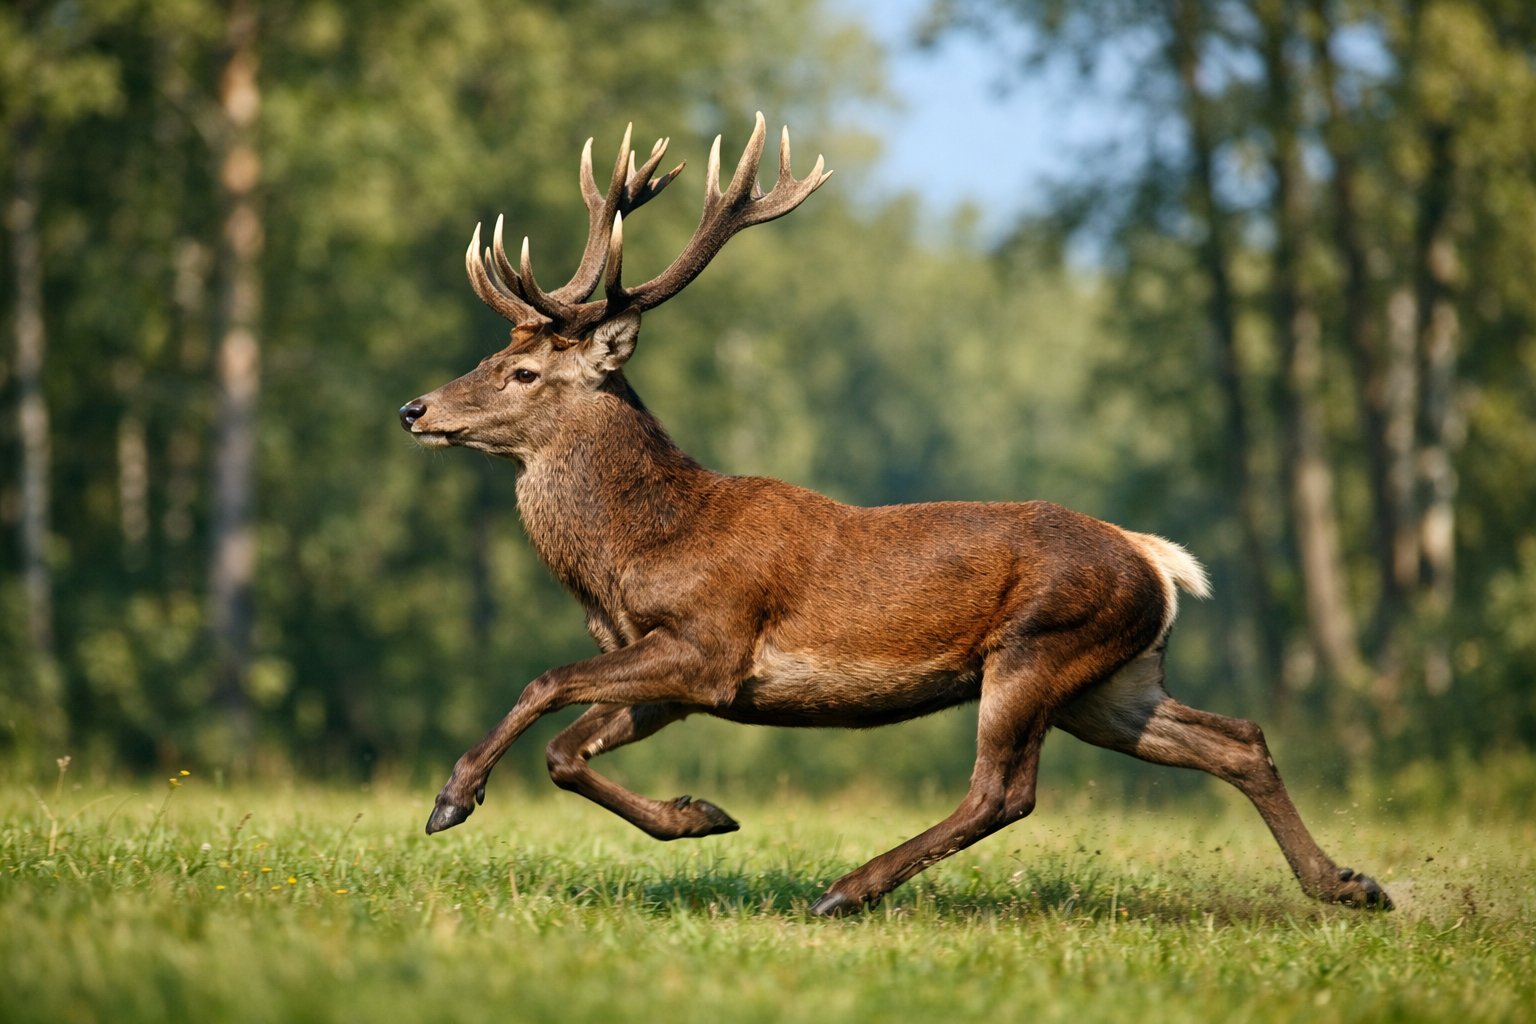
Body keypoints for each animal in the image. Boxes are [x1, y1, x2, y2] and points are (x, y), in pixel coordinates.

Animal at [398, 114, 1392, 916]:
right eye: (495, 354)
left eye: (523, 371)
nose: (415, 409)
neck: (635, 553)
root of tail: (1157, 559)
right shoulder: (672, 680)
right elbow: (568, 753)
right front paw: (701, 815)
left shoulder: (712, 644)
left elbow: (545, 682)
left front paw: (451, 798)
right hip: (1113, 681)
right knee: (1236, 739)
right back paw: (1349, 885)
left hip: (1040, 647)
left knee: (1004, 792)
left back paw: (846, 890)